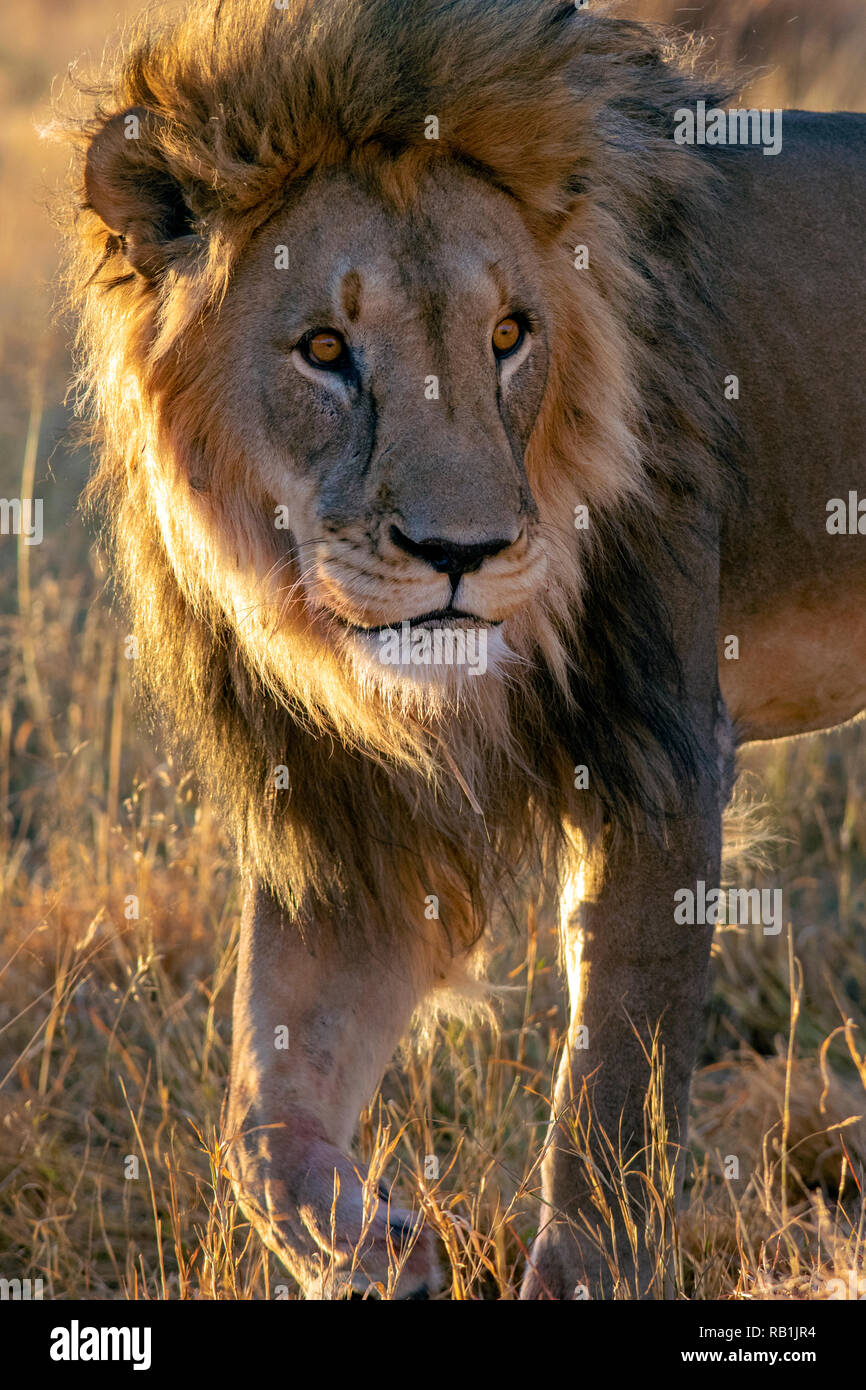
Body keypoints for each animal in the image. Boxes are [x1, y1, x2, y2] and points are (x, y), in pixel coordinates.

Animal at [62, 0, 866, 1298]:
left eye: (508, 335)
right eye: (324, 350)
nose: (462, 551)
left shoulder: (654, 752)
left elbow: (609, 1095)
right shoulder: (348, 802)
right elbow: (259, 1107)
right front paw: (373, 1248)